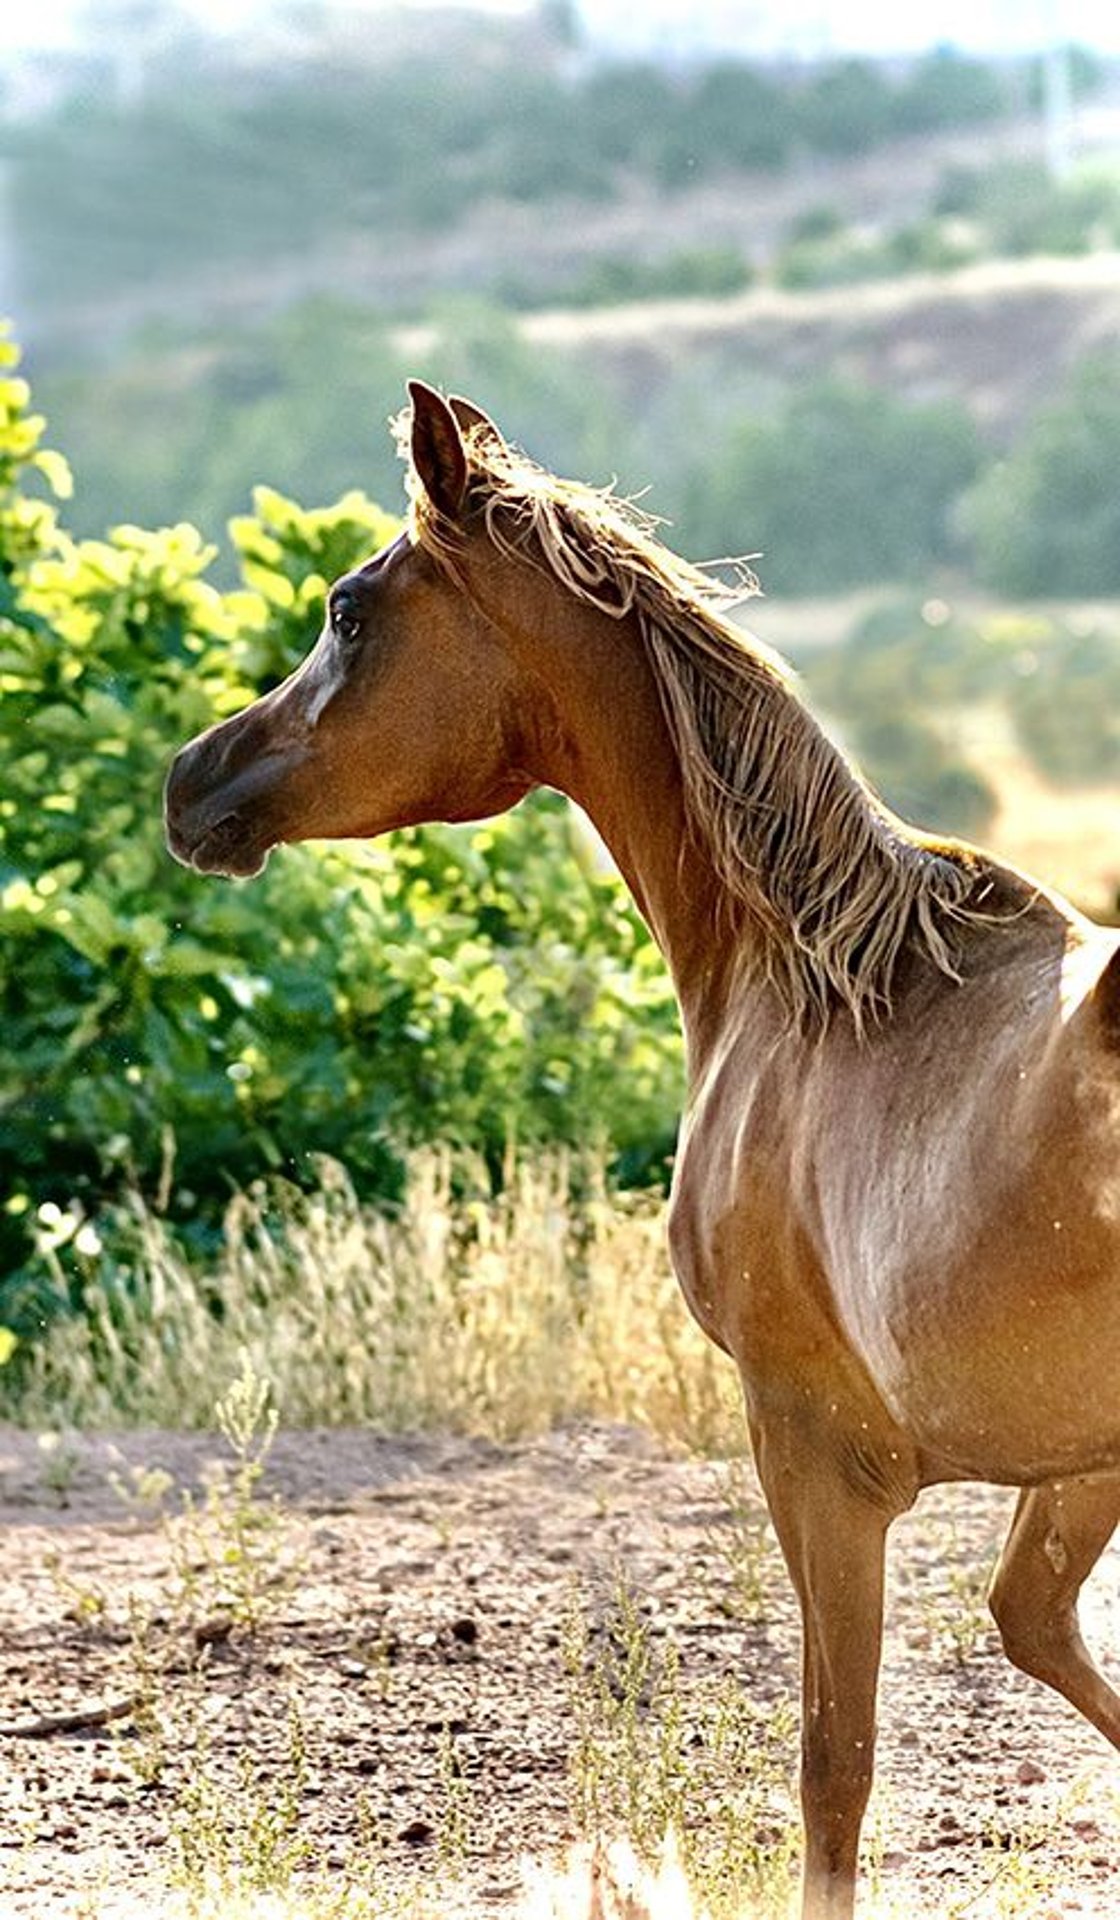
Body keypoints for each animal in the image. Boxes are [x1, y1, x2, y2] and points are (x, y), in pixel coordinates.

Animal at [165, 381, 1120, 1918]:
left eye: (349, 609)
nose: (189, 783)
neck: (817, 984)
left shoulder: (818, 1459)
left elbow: (836, 1778)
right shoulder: (1072, 1459)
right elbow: (1029, 1625)